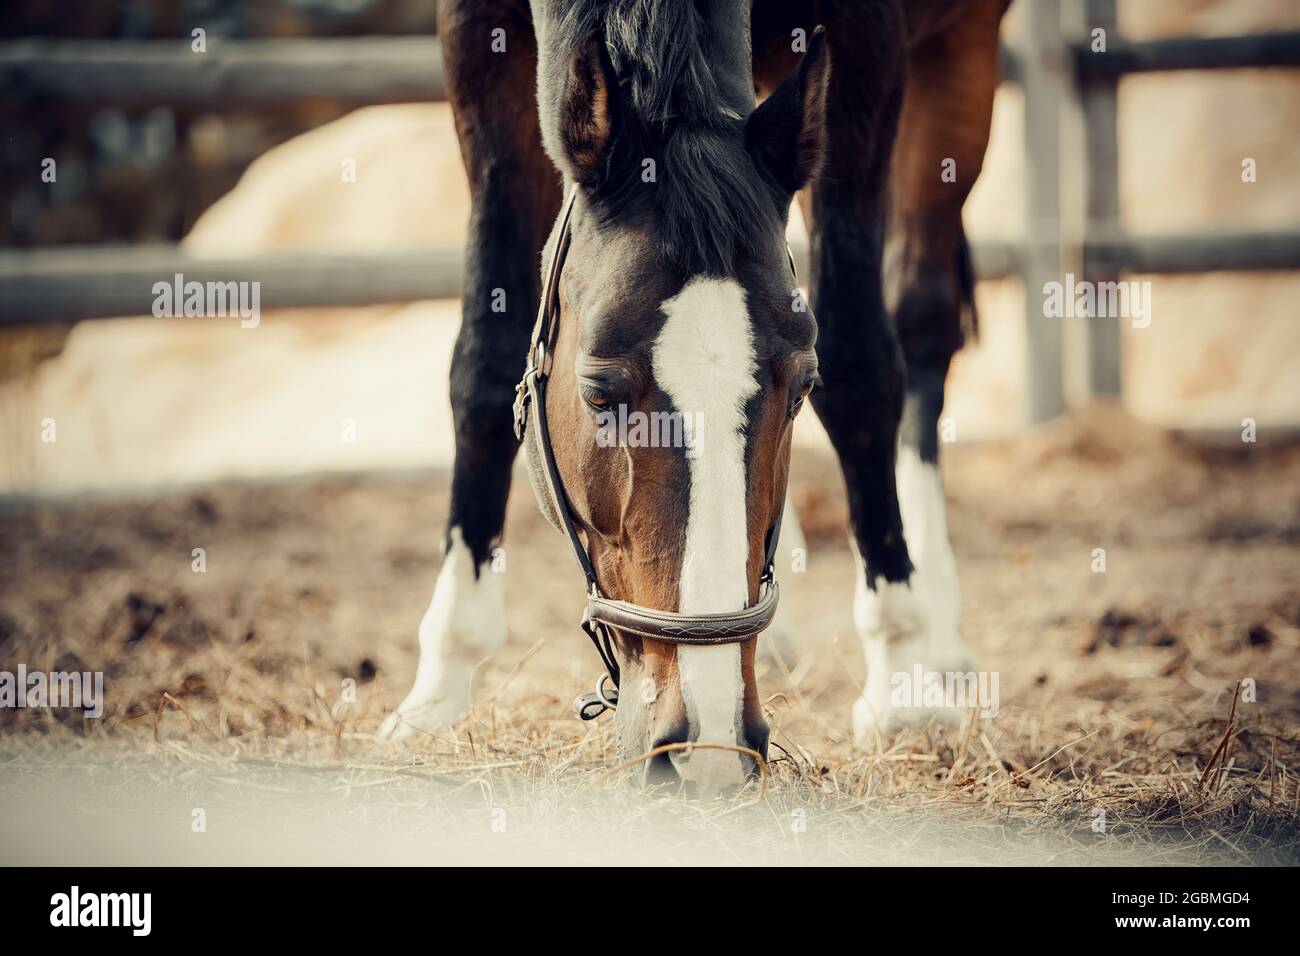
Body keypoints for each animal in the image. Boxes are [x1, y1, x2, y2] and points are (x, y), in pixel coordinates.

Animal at [379, 0, 1011, 796]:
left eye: (804, 387)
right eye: (597, 391)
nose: (707, 745)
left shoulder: (869, 46)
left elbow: (863, 366)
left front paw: (900, 675)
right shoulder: (474, 42)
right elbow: (485, 365)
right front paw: (440, 683)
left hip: (960, 53)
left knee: (920, 319)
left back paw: (936, 634)